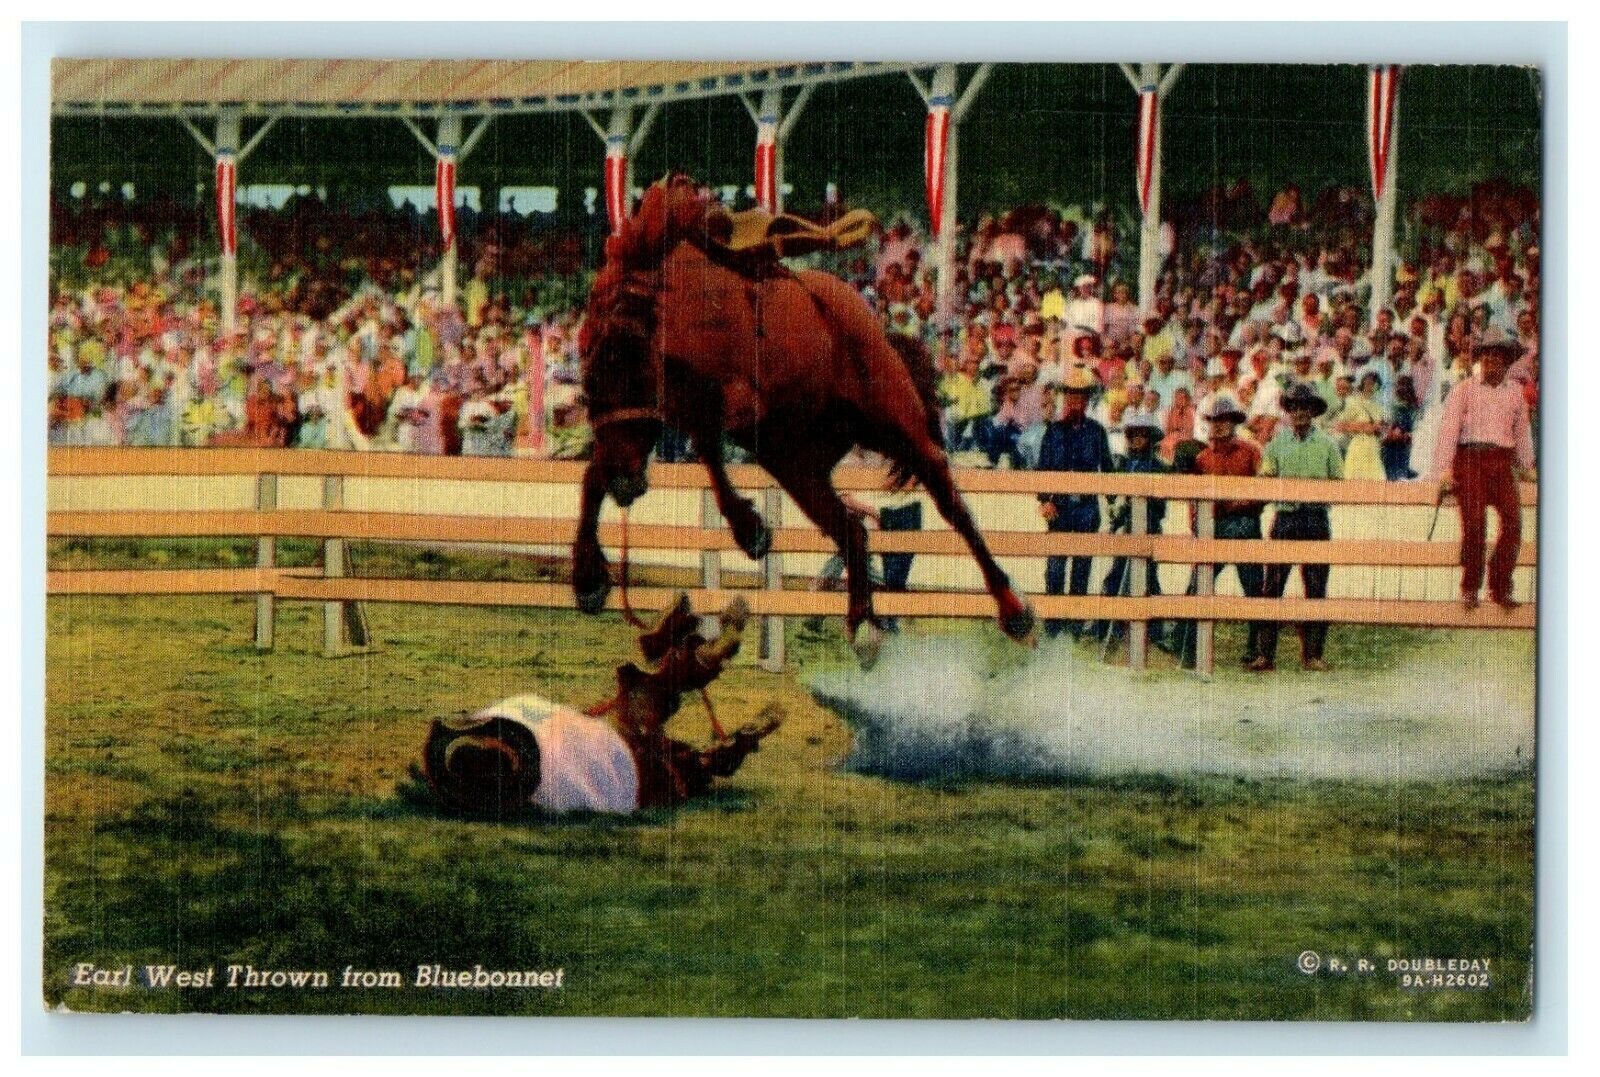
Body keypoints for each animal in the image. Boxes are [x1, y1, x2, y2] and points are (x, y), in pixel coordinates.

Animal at [572, 174, 1035, 665]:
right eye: (589, 386)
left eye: (633, 372)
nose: (627, 485)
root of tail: (873, 322)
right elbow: (595, 473)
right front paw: (588, 580)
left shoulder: (741, 404)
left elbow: (705, 441)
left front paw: (751, 530)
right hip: (799, 467)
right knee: (851, 528)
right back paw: (863, 627)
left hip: (897, 427)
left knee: (954, 507)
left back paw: (1016, 614)